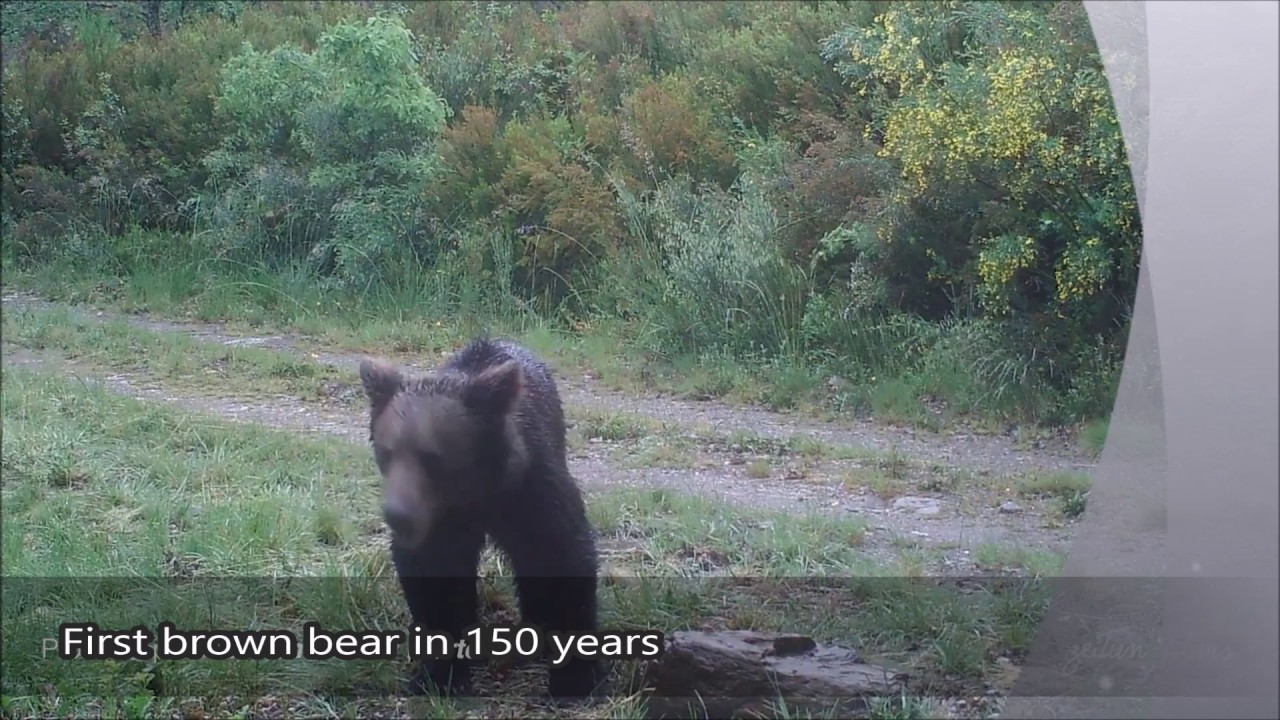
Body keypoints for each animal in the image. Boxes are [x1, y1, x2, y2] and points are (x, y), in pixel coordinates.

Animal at [358, 337, 603, 701]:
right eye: (386, 453)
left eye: (432, 457)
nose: (398, 515)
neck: (473, 493)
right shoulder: (438, 522)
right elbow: (435, 578)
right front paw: (440, 674)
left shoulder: (531, 492)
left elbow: (562, 558)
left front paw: (575, 677)